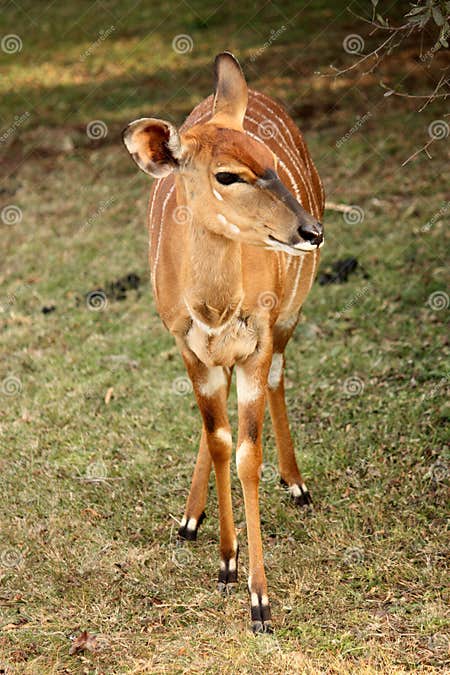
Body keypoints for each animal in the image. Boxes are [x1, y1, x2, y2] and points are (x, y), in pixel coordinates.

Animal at [122, 52, 324, 633]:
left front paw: (260, 601)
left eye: (270, 162)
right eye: (226, 175)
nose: (310, 231)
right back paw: (191, 519)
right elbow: (219, 441)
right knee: (218, 429)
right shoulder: (189, 347)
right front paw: (226, 562)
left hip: (288, 317)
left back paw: (297, 485)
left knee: (278, 378)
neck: (214, 307)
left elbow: (247, 456)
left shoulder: (257, 341)